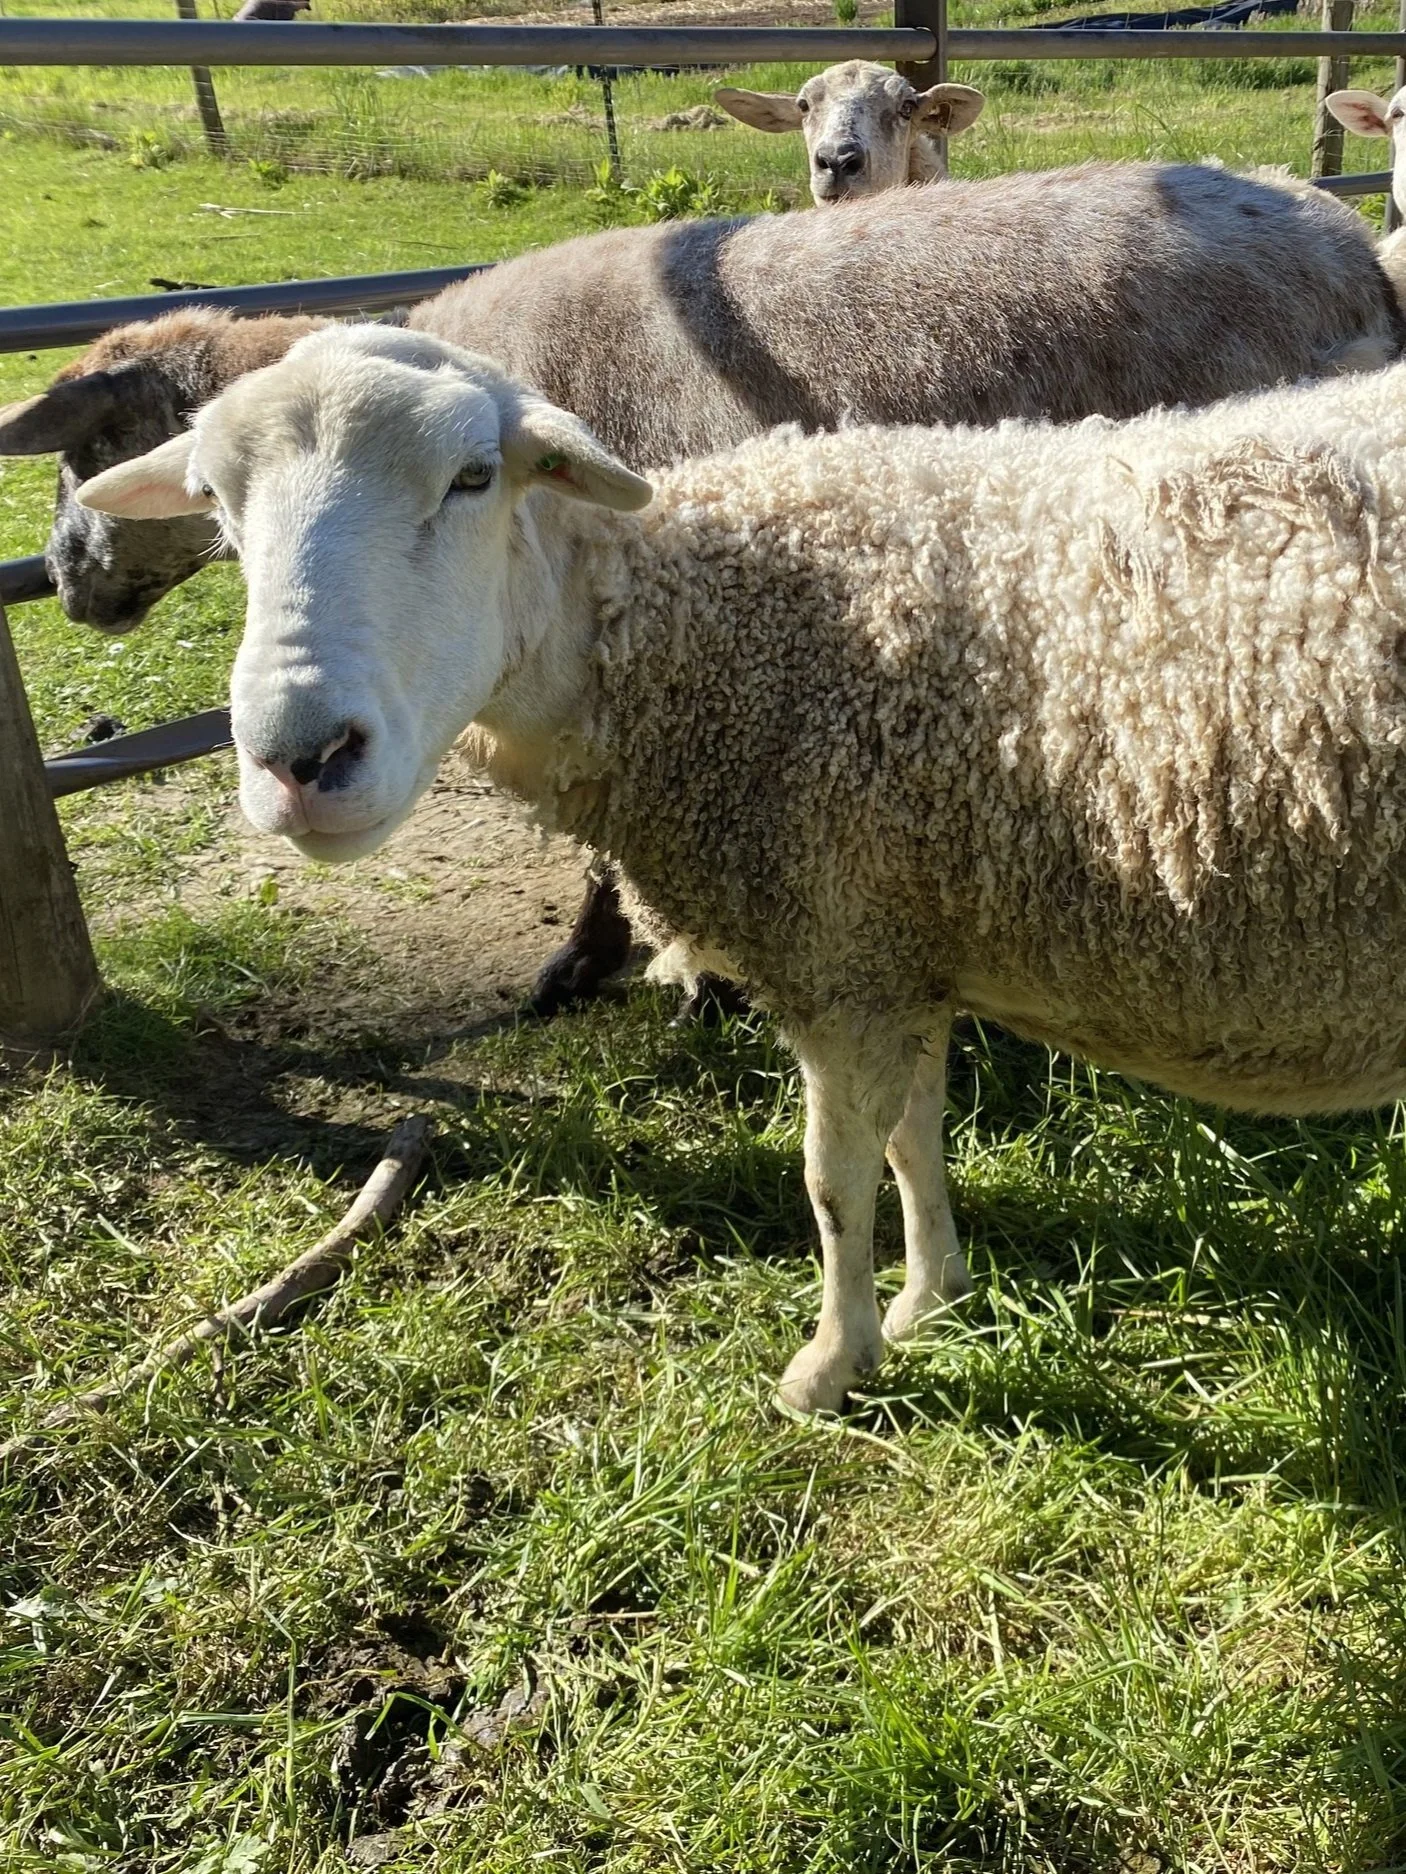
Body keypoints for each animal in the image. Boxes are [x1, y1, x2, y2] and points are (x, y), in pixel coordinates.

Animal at [75, 324, 1406, 1412]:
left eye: (471, 477)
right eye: (216, 502)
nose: (300, 759)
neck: (688, 626)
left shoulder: (830, 942)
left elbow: (830, 1180)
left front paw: (830, 1364)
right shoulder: (894, 944)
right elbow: (912, 1140)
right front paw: (931, 1298)